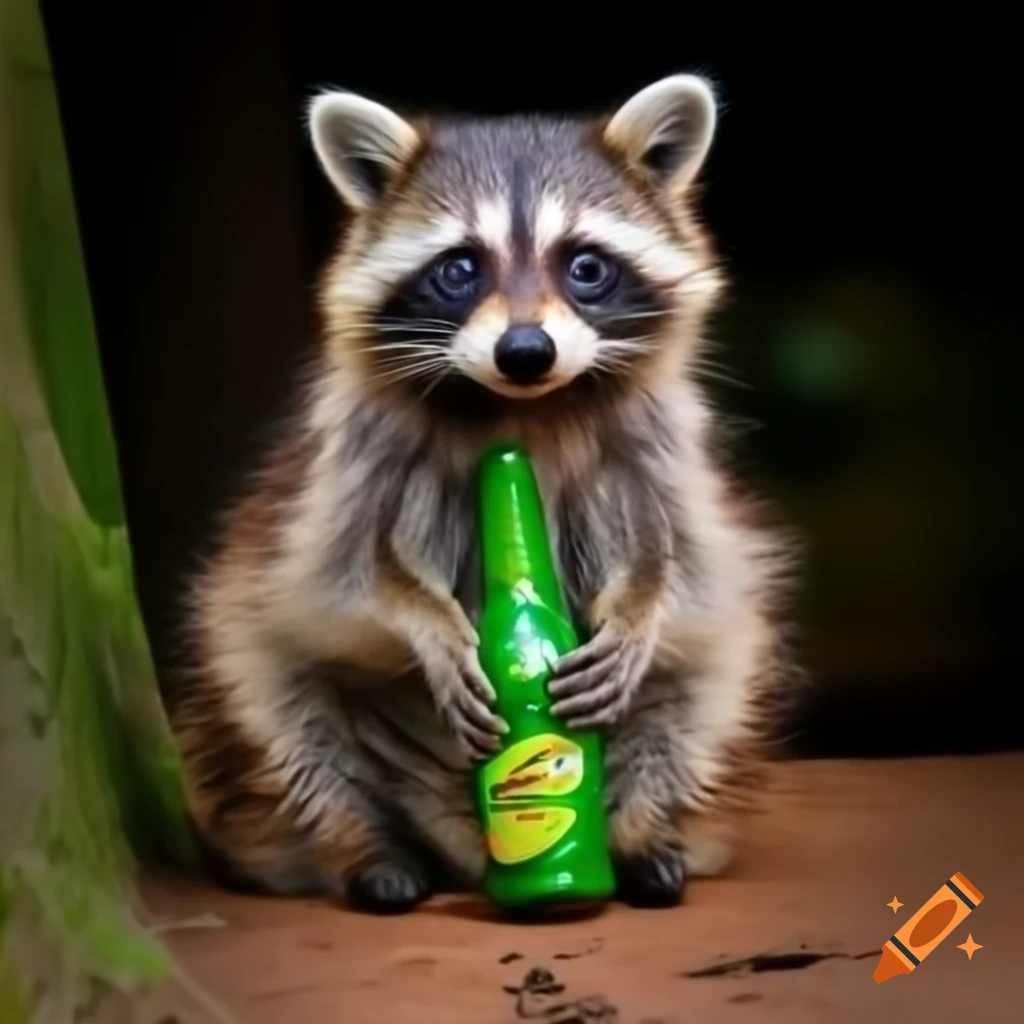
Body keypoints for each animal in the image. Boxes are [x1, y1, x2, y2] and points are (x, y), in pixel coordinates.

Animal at [171, 76, 790, 913]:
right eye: (459, 269)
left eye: (586, 267)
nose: (525, 351)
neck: (523, 406)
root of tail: (466, 854)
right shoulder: (349, 464)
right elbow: (345, 573)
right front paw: (423, 618)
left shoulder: (660, 451)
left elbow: (680, 558)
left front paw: (642, 606)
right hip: (260, 680)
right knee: (283, 721)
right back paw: (363, 846)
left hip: (697, 700)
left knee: (704, 698)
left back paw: (643, 838)